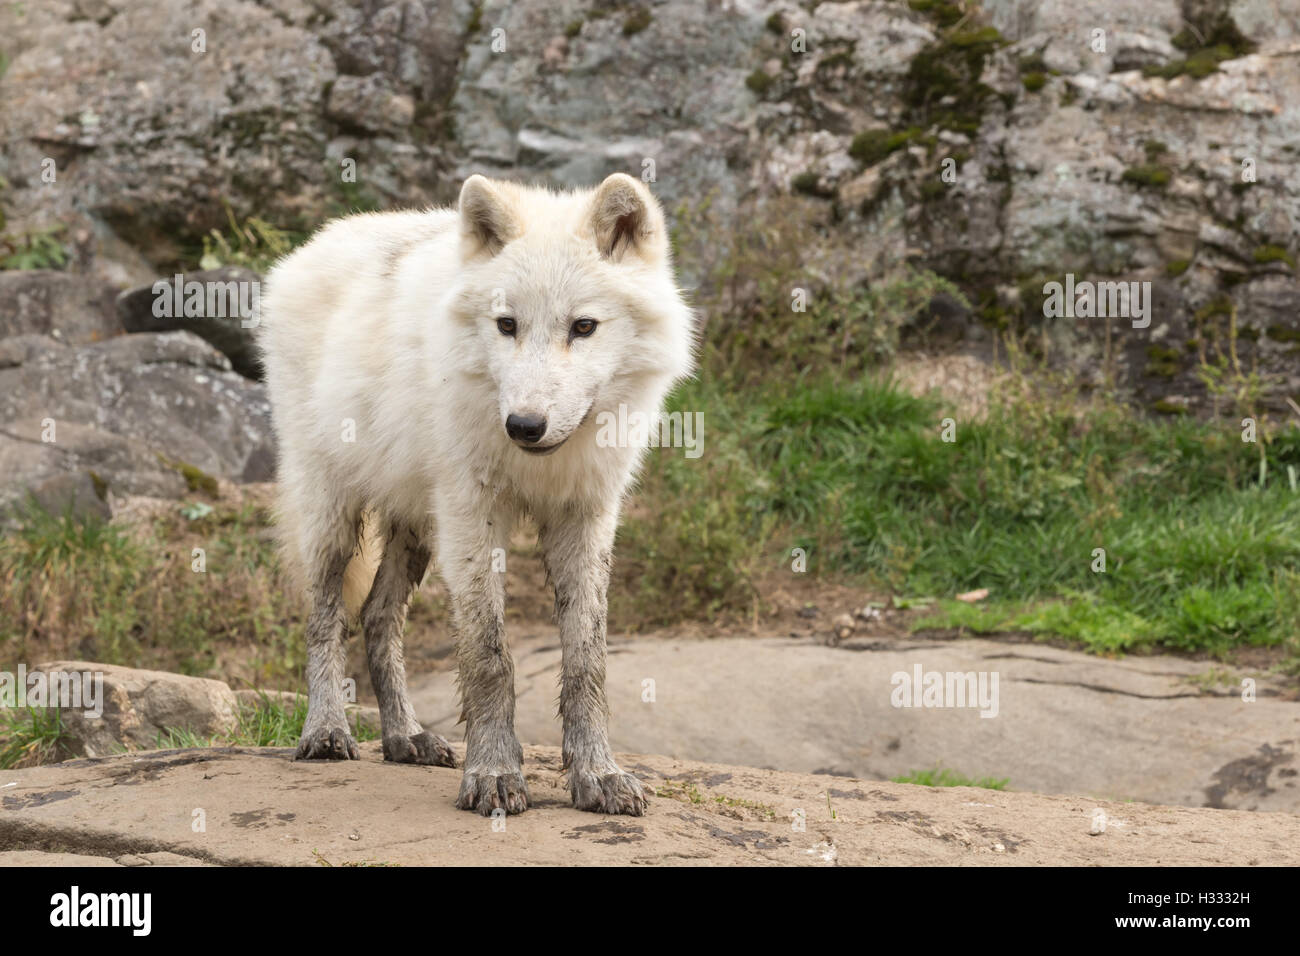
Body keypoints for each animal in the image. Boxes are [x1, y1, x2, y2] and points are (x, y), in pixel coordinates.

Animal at [257, 174, 694, 816]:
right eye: (506, 324)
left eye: (583, 327)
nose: (524, 425)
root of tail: (314, 243)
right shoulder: (472, 513)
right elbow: (489, 657)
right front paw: (492, 773)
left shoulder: (587, 516)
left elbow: (586, 660)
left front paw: (598, 774)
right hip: (332, 513)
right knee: (325, 620)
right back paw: (327, 730)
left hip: (416, 526)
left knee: (378, 617)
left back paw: (404, 737)